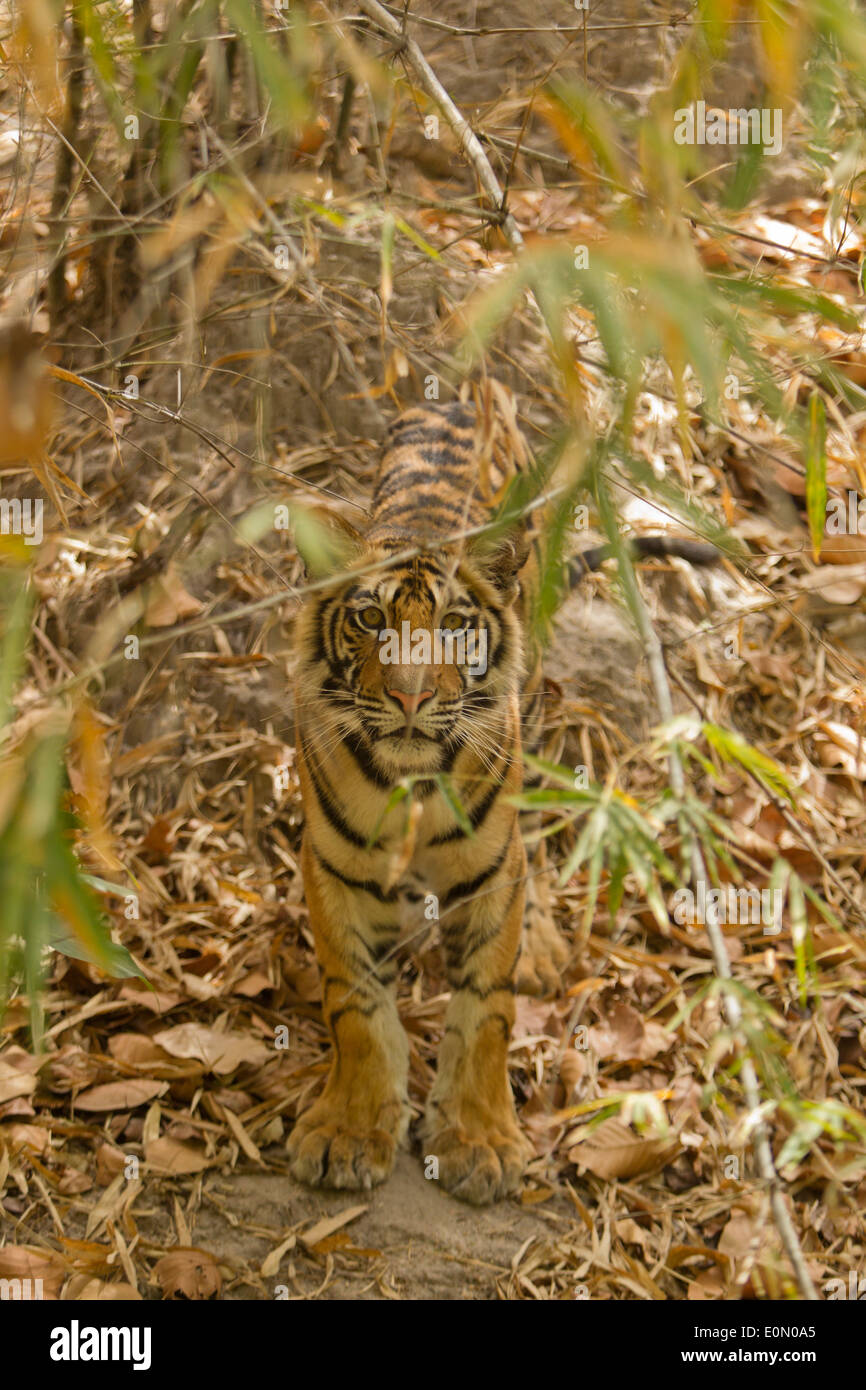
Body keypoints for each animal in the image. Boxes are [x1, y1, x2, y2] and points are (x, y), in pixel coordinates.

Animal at [287, 399, 714, 1204]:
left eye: (455, 625)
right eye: (369, 620)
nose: (410, 697)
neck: (413, 783)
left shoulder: (490, 871)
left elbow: (488, 1006)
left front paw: (479, 1141)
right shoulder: (334, 868)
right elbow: (354, 1003)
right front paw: (349, 1130)